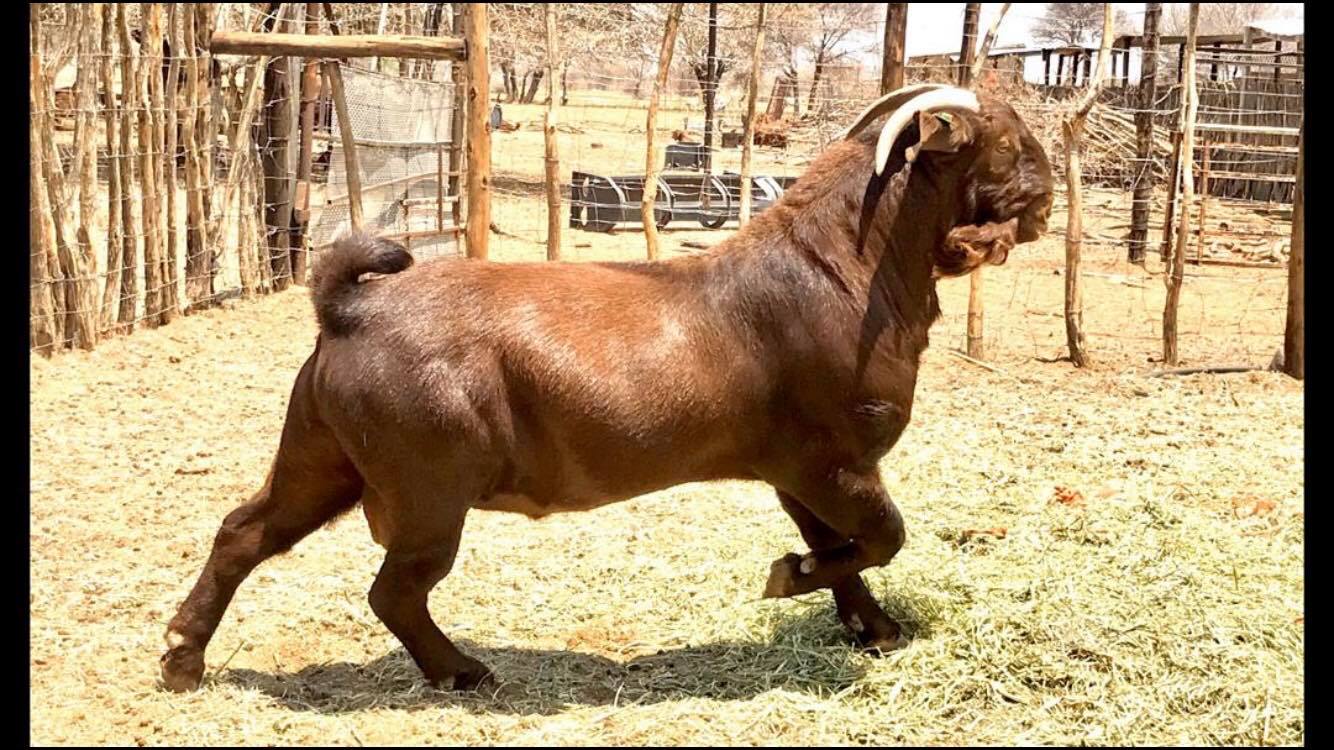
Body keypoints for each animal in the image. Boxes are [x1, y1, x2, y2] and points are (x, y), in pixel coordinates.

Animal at [161, 84, 1055, 693]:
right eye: (1009, 141)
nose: (1048, 193)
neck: (845, 263)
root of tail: (350, 304)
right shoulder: (833, 462)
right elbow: (879, 538)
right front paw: (788, 577)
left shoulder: (798, 474)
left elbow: (848, 551)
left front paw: (874, 627)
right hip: (427, 486)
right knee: (395, 590)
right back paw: (461, 671)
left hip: (323, 460)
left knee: (244, 533)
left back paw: (181, 657)